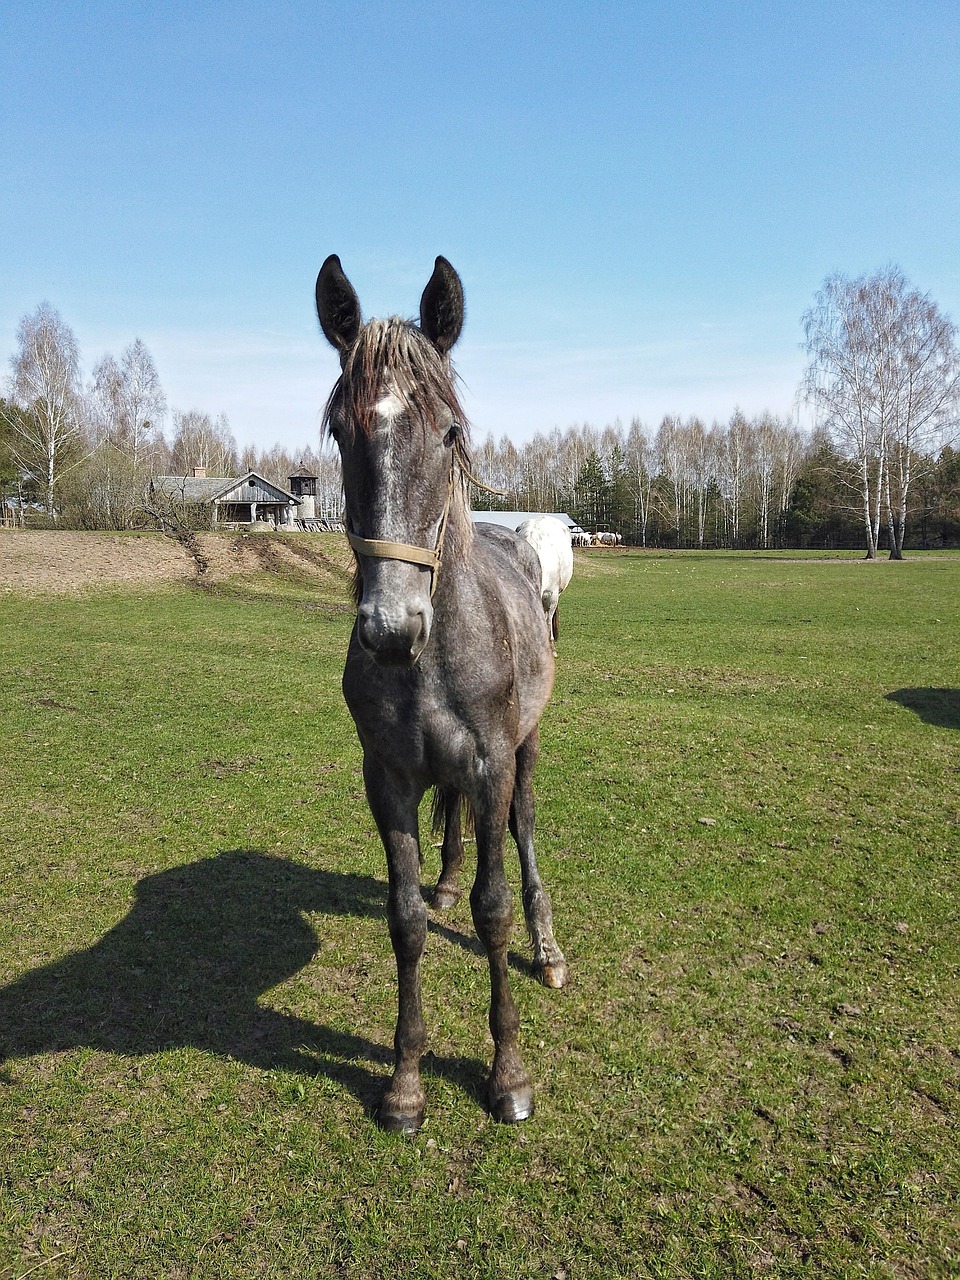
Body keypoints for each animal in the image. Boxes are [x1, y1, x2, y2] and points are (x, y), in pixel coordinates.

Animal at [315, 254, 567, 1134]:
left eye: (450, 433)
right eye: (342, 432)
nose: (392, 627)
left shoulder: (492, 766)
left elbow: (493, 911)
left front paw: (509, 1075)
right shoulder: (385, 780)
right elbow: (406, 919)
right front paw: (405, 1081)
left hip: (525, 750)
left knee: (523, 832)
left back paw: (549, 951)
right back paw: (451, 878)